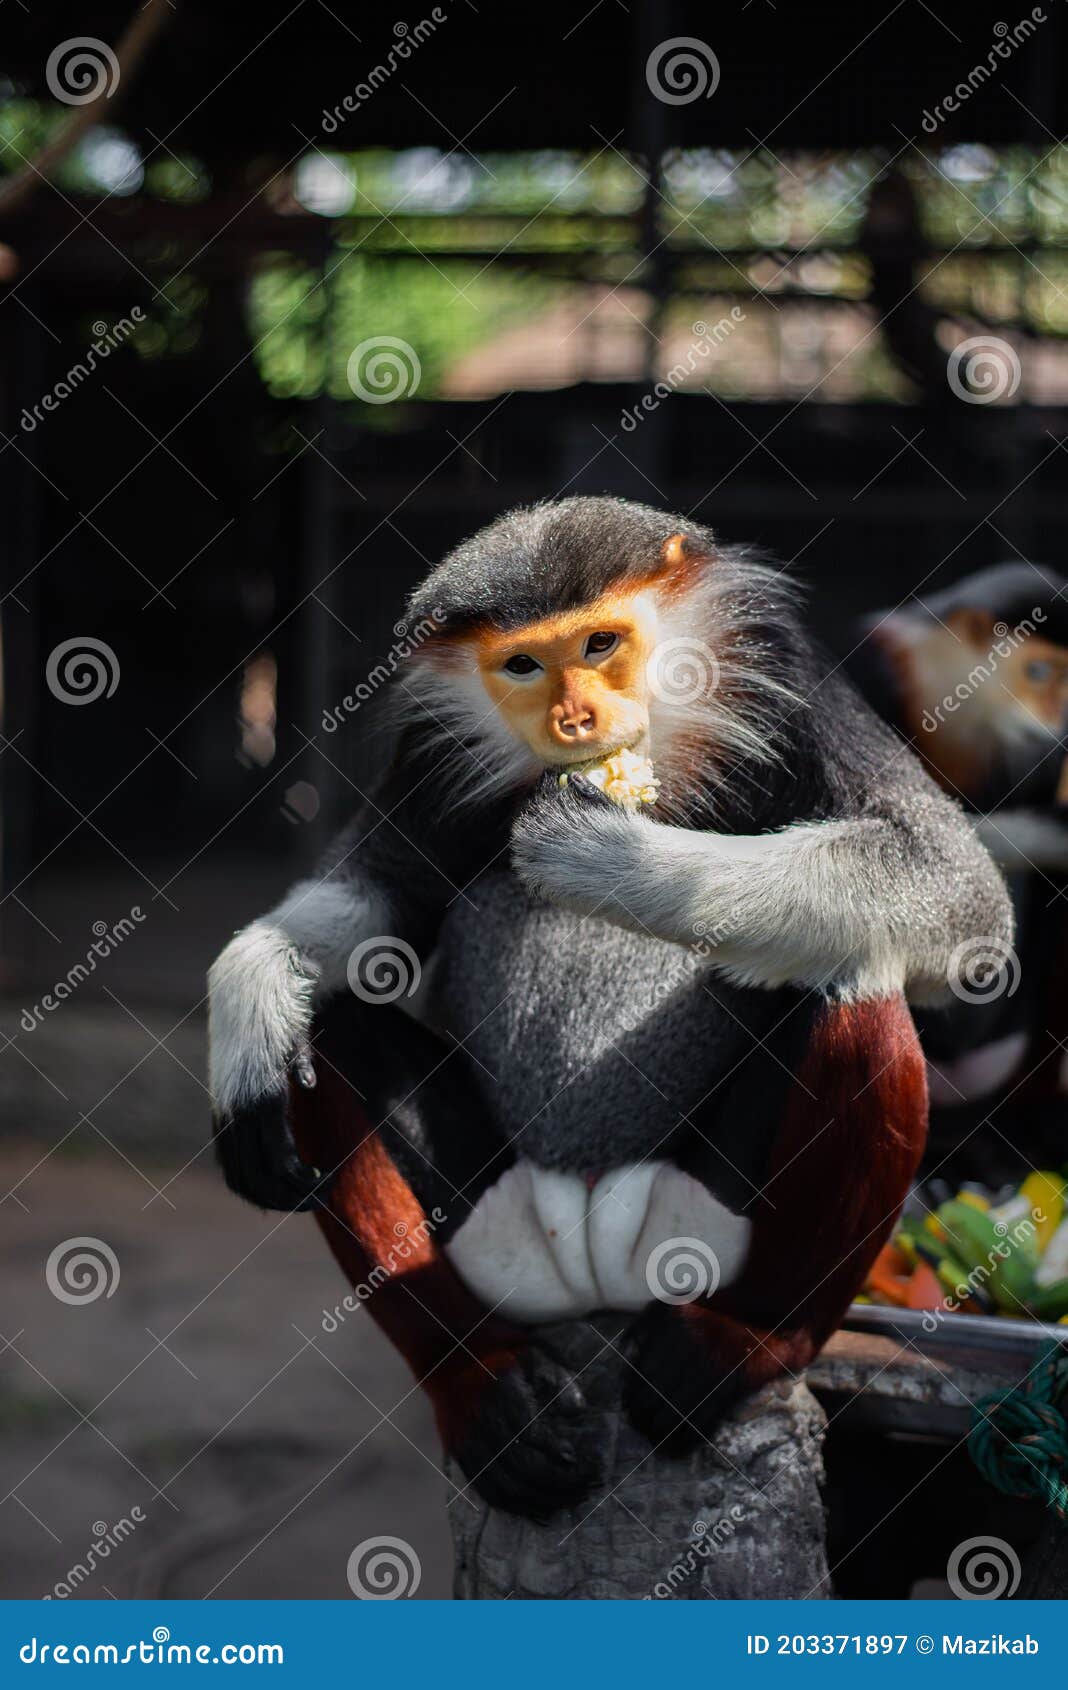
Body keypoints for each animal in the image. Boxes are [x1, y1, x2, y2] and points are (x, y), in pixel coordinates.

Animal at [208, 497, 1011, 1517]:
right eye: (523, 664)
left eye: (601, 643)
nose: (575, 716)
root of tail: (592, 1243)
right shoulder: (434, 747)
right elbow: (385, 901)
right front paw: (252, 995)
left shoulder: (792, 680)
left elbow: (958, 893)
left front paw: (612, 856)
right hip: (492, 1220)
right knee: (331, 1025)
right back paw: (483, 1387)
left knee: (852, 976)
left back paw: (738, 1346)